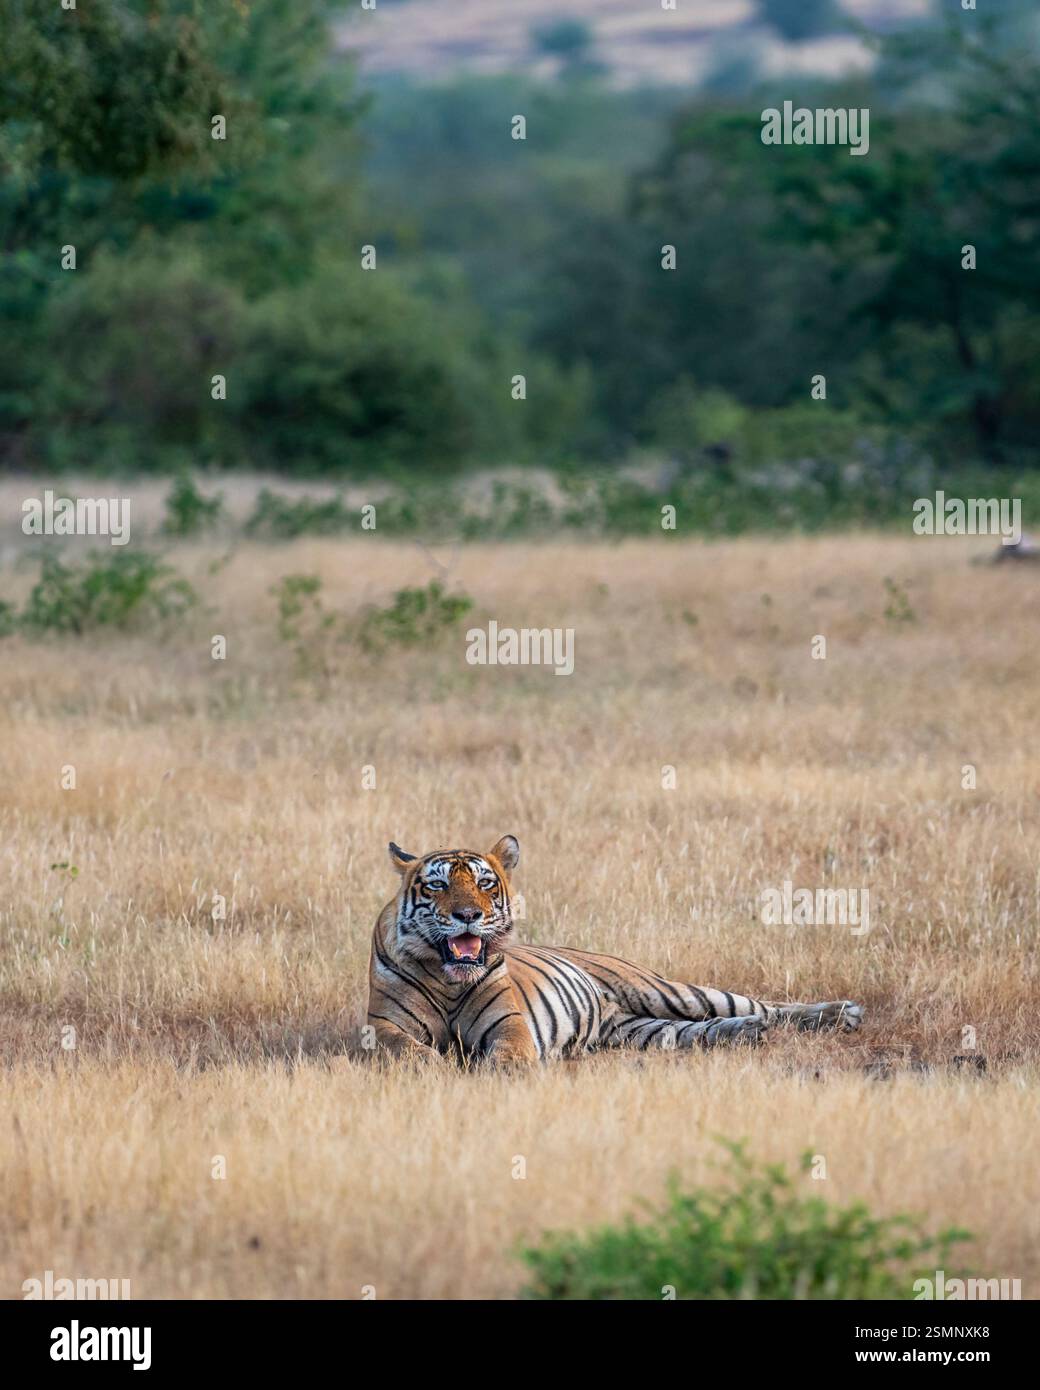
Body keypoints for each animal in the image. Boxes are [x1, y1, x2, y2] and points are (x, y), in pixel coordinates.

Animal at [366, 836, 863, 1065]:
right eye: (437, 885)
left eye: (485, 883)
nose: (468, 914)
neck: (448, 978)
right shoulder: (383, 1027)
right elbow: (407, 1050)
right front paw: (439, 1066)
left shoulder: (508, 1022)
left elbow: (510, 1051)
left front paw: (504, 1070)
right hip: (641, 1029)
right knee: (701, 1030)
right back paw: (745, 1033)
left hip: (669, 991)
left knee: (765, 1005)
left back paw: (843, 1013)